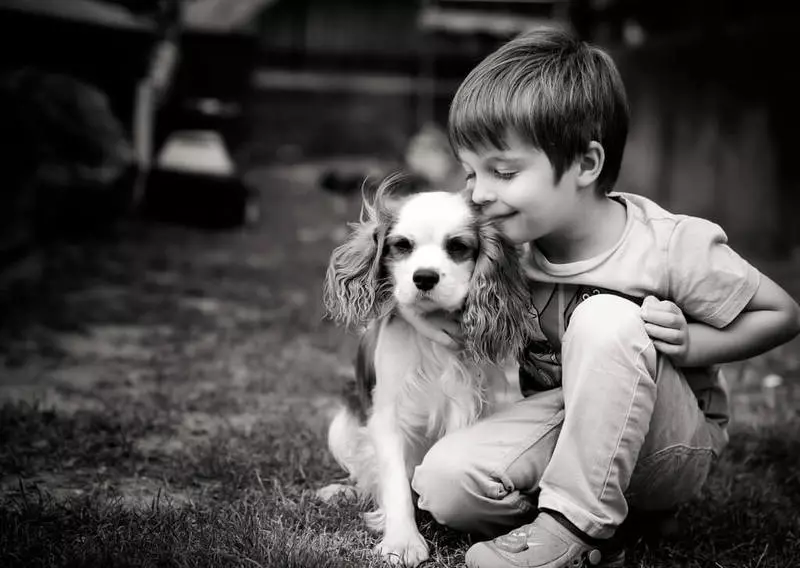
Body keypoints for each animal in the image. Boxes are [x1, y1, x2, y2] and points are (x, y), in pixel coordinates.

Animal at [318, 175, 536, 564]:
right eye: (402, 246)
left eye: (458, 247)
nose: (424, 277)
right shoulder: (387, 416)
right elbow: (394, 484)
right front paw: (402, 541)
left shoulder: (470, 404)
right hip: (341, 426)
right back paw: (343, 492)